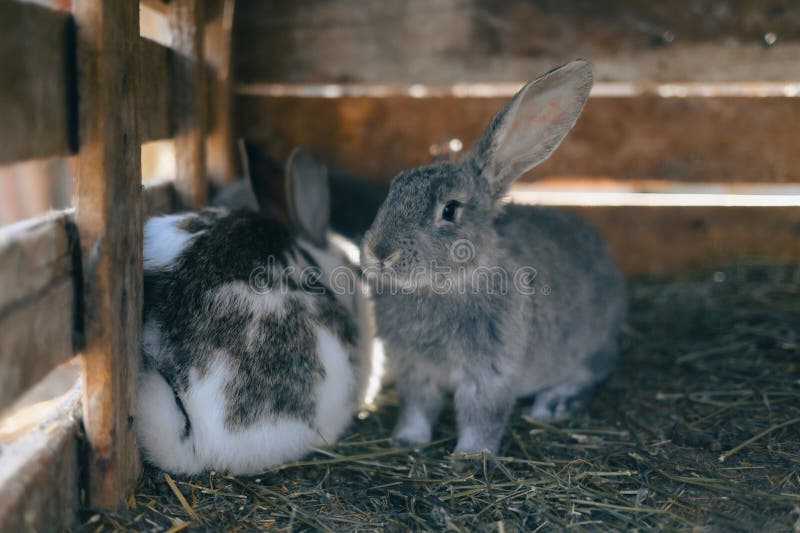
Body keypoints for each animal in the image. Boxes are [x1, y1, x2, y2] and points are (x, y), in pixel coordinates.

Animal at [360, 60, 626, 455]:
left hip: (592, 343)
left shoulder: (491, 370)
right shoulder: (415, 369)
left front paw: (470, 455)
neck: (444, 283)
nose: (379, 252)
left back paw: (553, 403)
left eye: (450, 210)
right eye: (393, 189)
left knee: (591, 371)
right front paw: (407, 440)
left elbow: (480, 416)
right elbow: (417, 408)